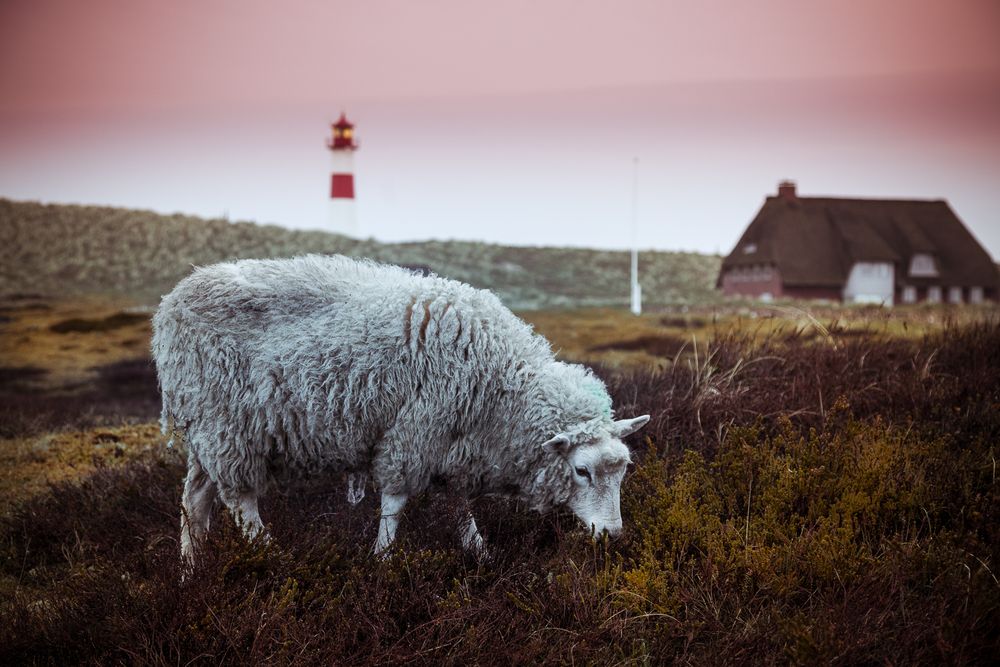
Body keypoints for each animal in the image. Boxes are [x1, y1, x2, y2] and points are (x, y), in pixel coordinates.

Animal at [151, 254, 649, 563]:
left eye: (622, 470)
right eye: (582, 471)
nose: (613, 536)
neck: (501, 385)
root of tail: (170, 302)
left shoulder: (451, 444)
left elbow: (457, 504)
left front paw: (481, 553)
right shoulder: (417, 428)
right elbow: (395, 501)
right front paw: (384, 560)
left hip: (207, 429)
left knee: (194, 498)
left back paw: (190, 572)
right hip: (225, 424)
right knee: (240, 501)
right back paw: (272, 558)